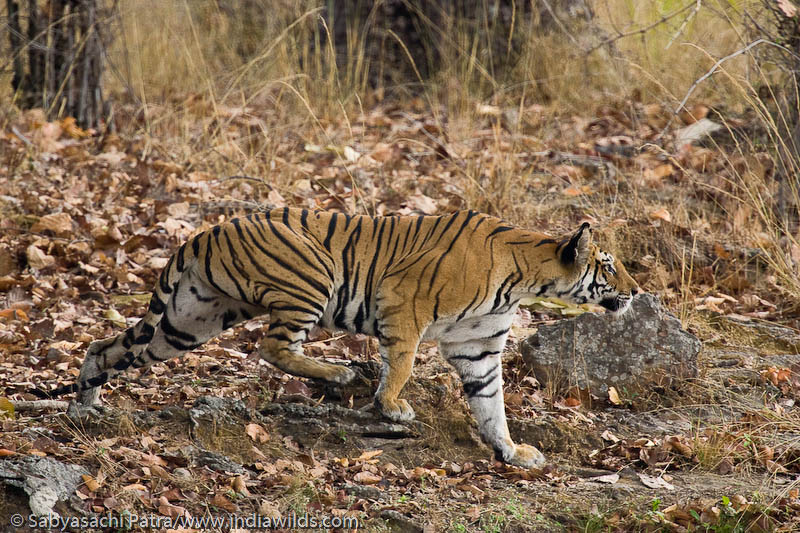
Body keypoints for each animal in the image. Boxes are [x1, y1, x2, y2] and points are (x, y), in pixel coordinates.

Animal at [33, 208, 638, 468]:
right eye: (609, 266)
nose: (637, 292)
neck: (524, 276)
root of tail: (203, 232)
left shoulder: (479, 347)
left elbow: (492, 405)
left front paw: (512, 451)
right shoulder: (405, 305)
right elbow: (403, 364)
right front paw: (392, 408)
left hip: (190, 319)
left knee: (106, 348)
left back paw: (85, 403)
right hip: (311, 275)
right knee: (273, 347)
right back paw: (342, 374)